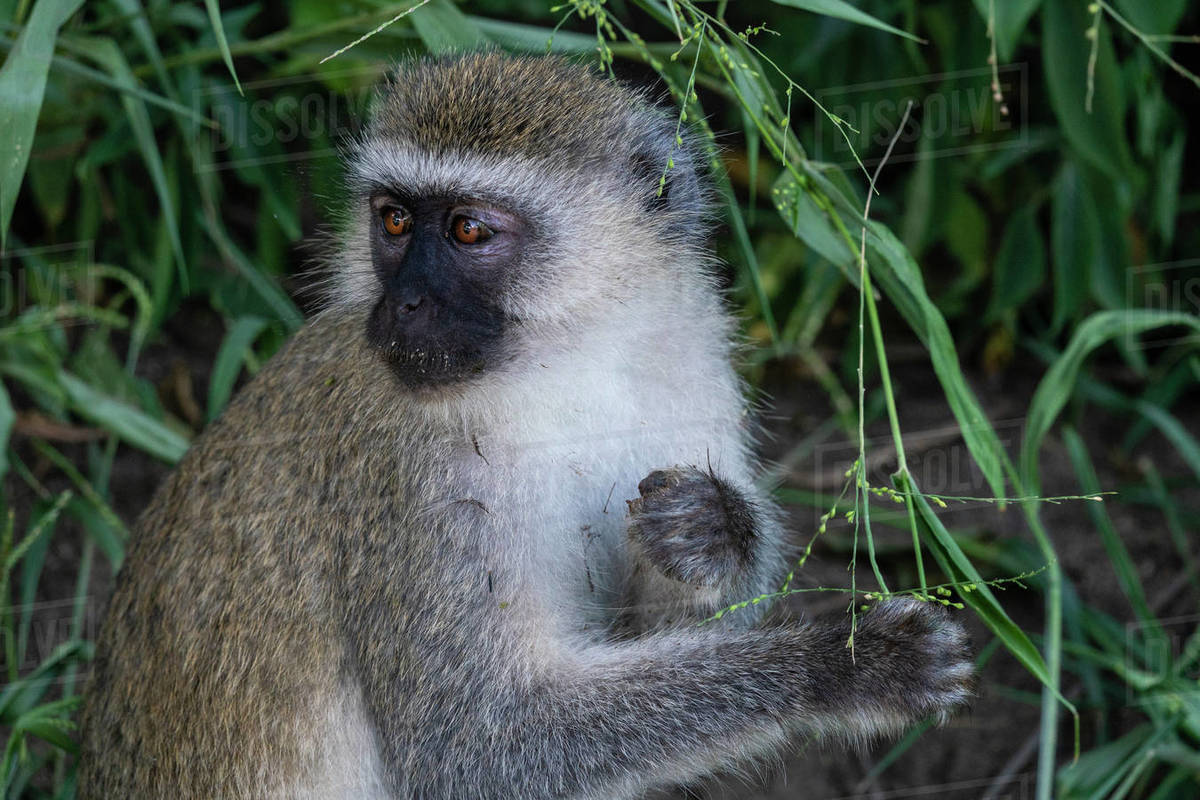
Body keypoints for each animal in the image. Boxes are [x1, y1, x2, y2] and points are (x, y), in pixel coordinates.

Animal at [78, 53, 973, 799]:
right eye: (394, 220)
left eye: (468, 229)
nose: (404, 305)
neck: (563, 367)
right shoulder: (407, 475)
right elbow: (482, 747)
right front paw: (845, 664)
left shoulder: (688, 378)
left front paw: (715, 531)